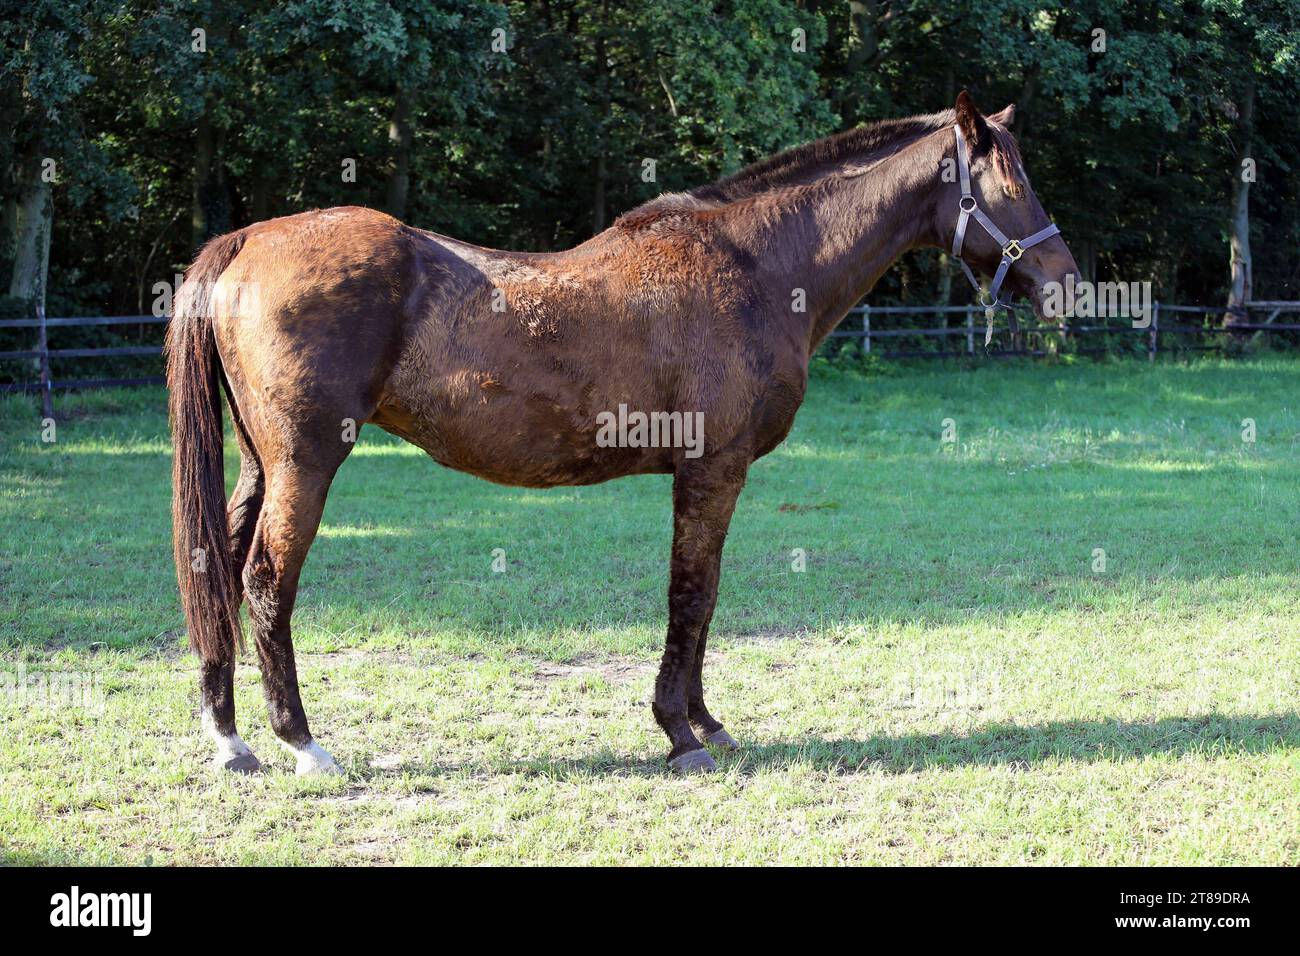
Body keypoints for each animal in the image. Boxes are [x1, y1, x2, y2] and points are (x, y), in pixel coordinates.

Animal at [167, 91, 1079, 776]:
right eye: (1009, 184)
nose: (1068, 284)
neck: (756, 266)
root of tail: (248, 242)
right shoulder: (712, 470)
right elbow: (691, 594)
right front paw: (680, 733)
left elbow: (705, 600)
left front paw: (707, 723)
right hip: (306, 462)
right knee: (266, 580)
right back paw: (302, 742)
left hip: (259, 465)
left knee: (218, 568)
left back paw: (230, 737)